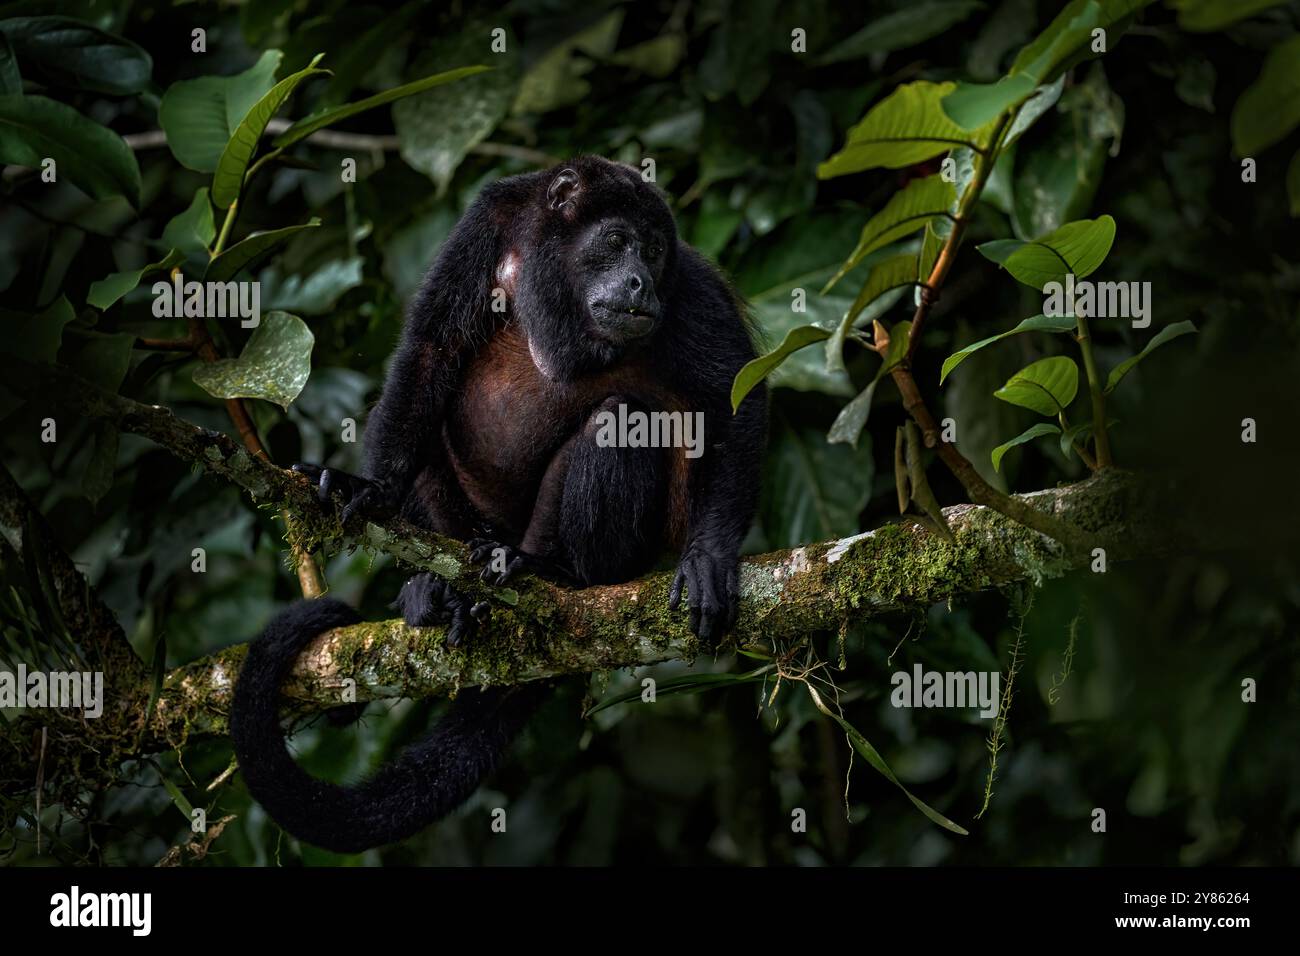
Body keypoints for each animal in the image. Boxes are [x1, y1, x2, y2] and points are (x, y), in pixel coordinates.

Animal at [229, 156, 767, 853]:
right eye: (617, 240)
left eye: (653, 250)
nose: (640, 281)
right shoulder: (488, 222)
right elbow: (429, 352)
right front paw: (368, 490)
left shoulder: (690, 287)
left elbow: (732, 398)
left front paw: (708, 556)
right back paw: (443, 592)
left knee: (621, 418)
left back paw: (550, 570)